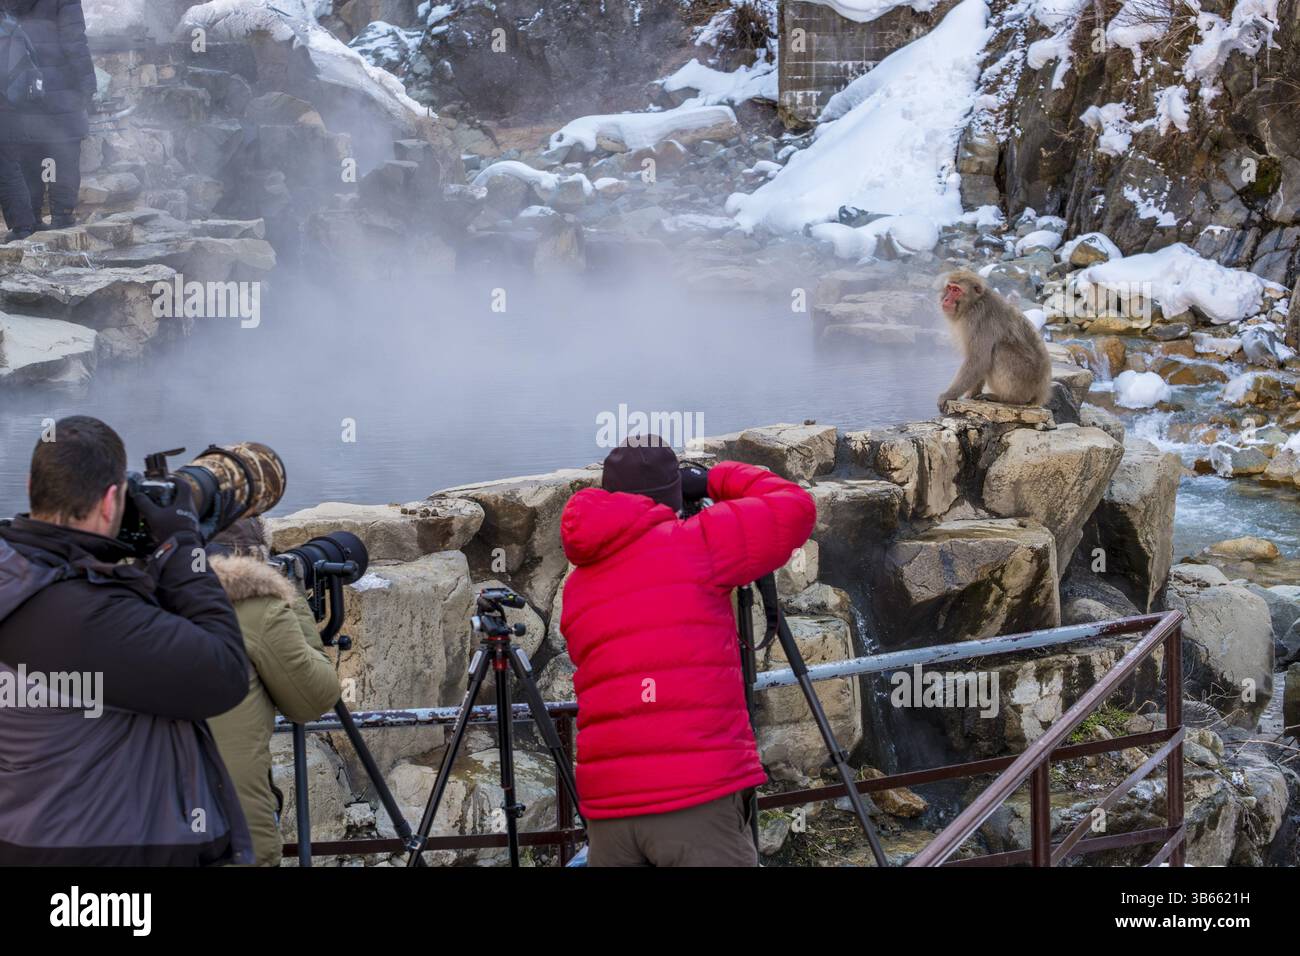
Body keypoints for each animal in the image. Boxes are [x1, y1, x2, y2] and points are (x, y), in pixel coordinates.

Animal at [937, 269, 1052, 412]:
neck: (973, 303)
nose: (946, 299)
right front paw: (972, 393)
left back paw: (1009, 398)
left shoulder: (978, 320)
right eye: (949, 288)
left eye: (956, 290)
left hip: (1025, 379)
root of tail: (1041, 392)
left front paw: (947, 395)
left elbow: (978, 359)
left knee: (1000, 349)